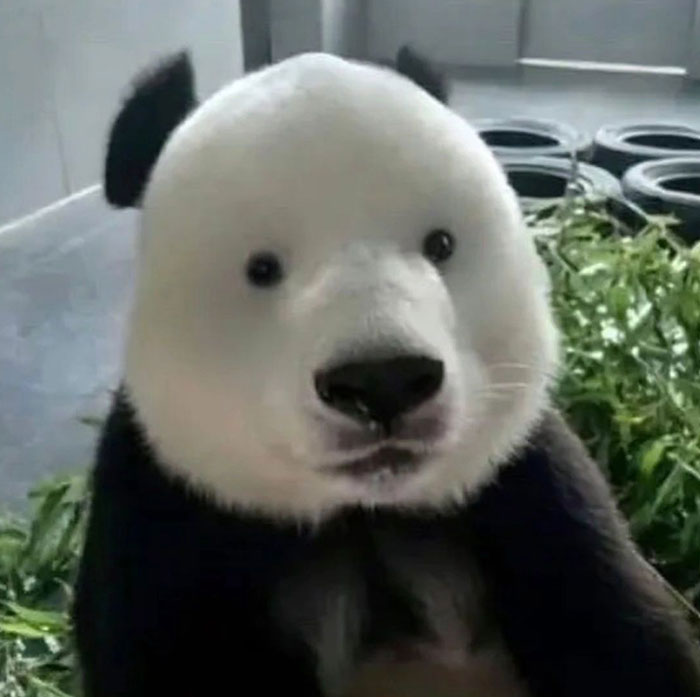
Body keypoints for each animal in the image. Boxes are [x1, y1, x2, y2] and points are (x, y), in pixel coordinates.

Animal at [74, 48, 700, 697]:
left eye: (440, 244)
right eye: (262, 268)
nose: (384, 382)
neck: (365, 512)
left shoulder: (530, 488)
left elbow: (630, 642)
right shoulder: (164, 517)